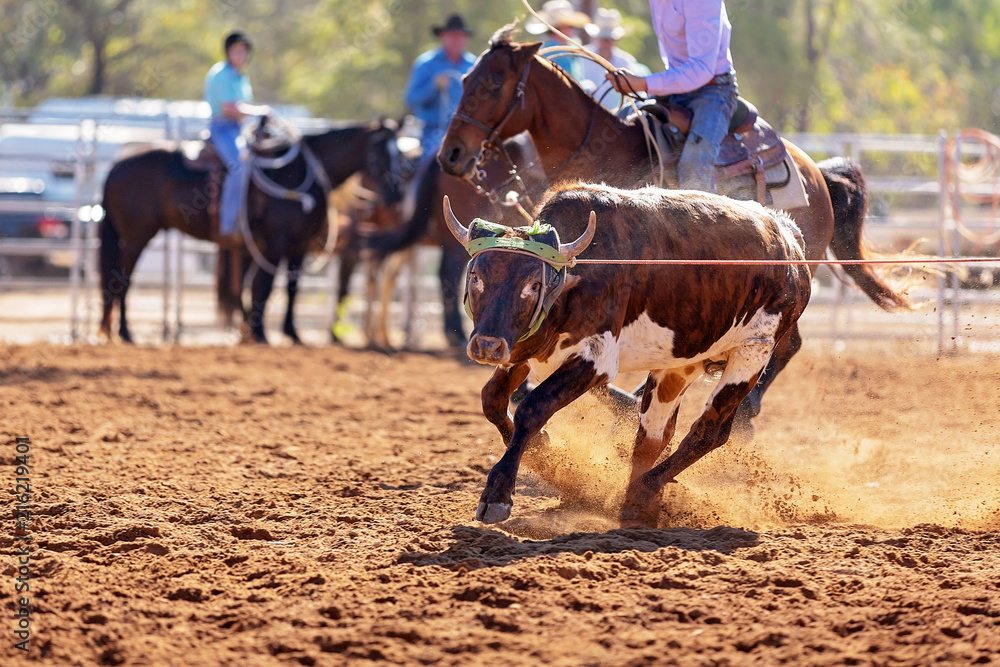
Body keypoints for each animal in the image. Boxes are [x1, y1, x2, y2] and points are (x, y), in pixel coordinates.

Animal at [442, 181, 812, 527]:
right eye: (476, 277)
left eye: (533, 284)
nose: (487, 346)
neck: (578, 276)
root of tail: (789, 239)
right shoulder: (526, 347)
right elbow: (492, 398)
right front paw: (543, 446)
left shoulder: (596, 360)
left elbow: (533, 407)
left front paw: (497, 495)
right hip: (679, 365)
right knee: (652, 436)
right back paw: (637, 505)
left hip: (752, 353)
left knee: (710, 431)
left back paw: (644, 491)